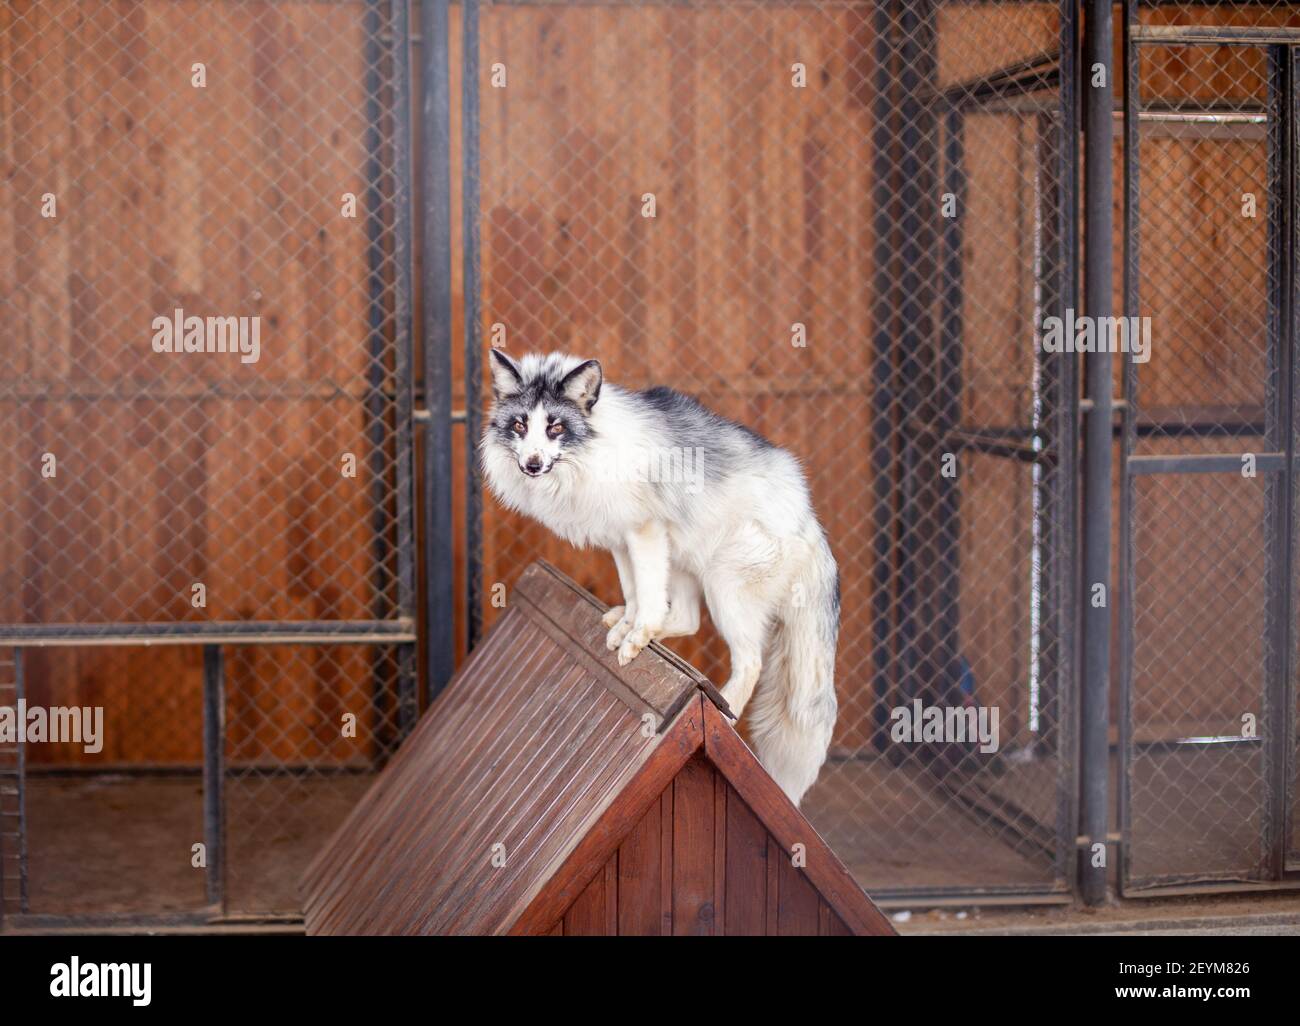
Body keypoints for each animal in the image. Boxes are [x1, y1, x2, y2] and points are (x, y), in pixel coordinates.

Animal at [479, 350, 839, 806]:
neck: (593, 451)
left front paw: (636, 638)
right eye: (520, 425)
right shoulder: (620, 538)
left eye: (556, 427)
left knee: (749, 660)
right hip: (684, 559)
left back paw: (725, 715)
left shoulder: (644, 529)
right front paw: (629, 630)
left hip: (724, 583)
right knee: (688, 619)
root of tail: (809, 522)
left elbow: (648, 597)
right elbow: (636, 592)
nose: (532, 464)